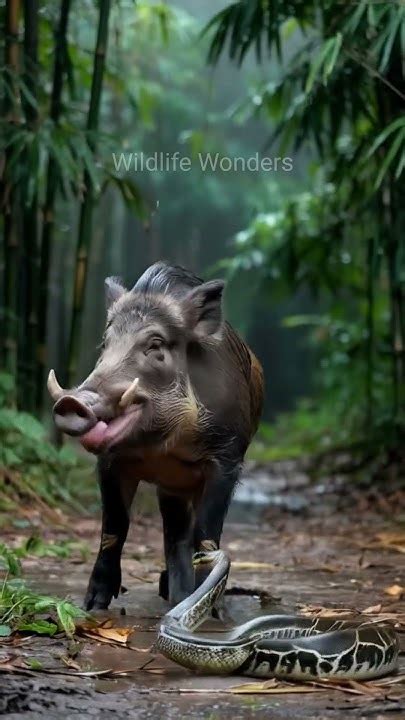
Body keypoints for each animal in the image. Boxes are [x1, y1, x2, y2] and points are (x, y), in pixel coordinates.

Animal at [47, 262, 264, 610]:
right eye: (105, 343)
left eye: (155, 345)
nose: (72, 401)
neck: (163, 445)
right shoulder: (111, 460)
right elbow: (114, 527)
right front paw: (92, 606)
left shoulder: (227, 458)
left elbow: (207, 534)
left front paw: (214, 613)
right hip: (172, 489)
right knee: (174, 535)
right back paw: (173, 595)